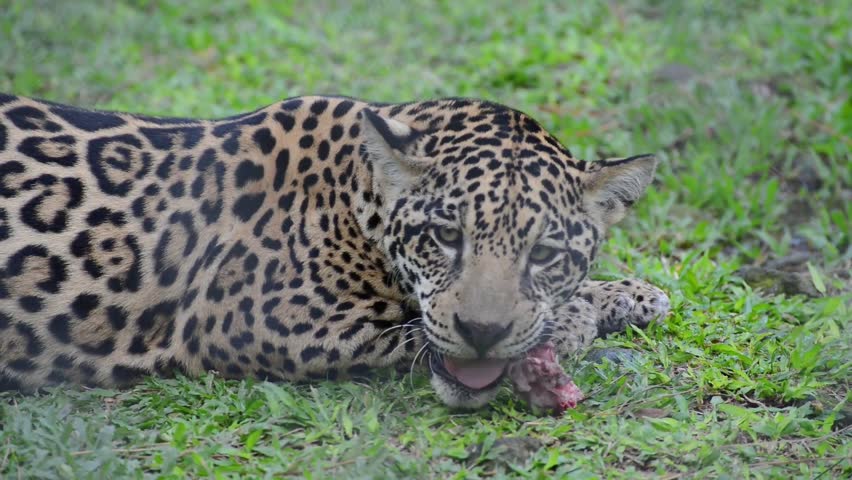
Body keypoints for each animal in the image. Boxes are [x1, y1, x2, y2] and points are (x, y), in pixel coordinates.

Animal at [0, 92, 670, 408]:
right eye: (446, 237)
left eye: (545, 253)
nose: (482, 333)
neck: (355, 195)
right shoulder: (259, 318)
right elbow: (411, 330)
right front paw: (576, 321)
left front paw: (633, 293)